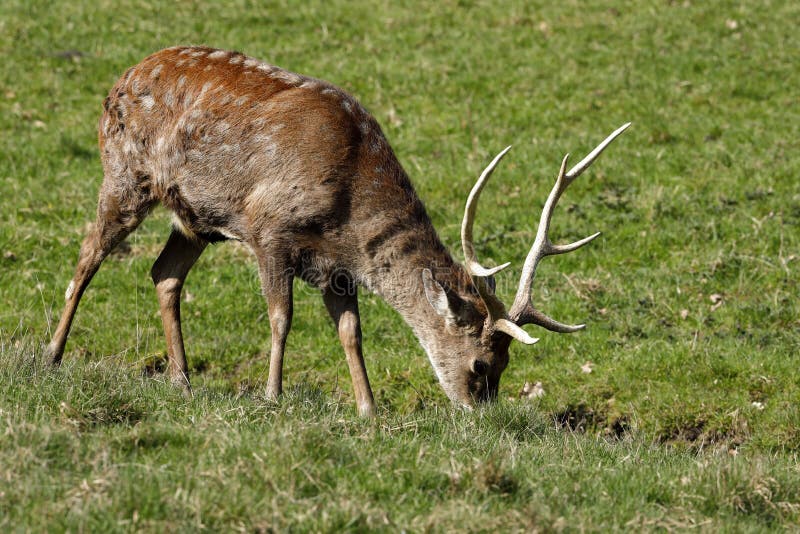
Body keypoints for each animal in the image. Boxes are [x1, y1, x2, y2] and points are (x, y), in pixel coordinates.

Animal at [44, 46, 629, 416]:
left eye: (506, 364)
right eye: (483, 362)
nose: (482, 412)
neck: (348, 205)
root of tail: (120, 79)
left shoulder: (336, 268)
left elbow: (351, 332)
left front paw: (368, 410)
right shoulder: (269, 228)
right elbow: (281, 317)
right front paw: (273, 395)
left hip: (194, 218)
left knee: (163, 274)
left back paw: (182, 379)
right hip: (125, 174)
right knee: (88, 256)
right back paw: (52, 354)